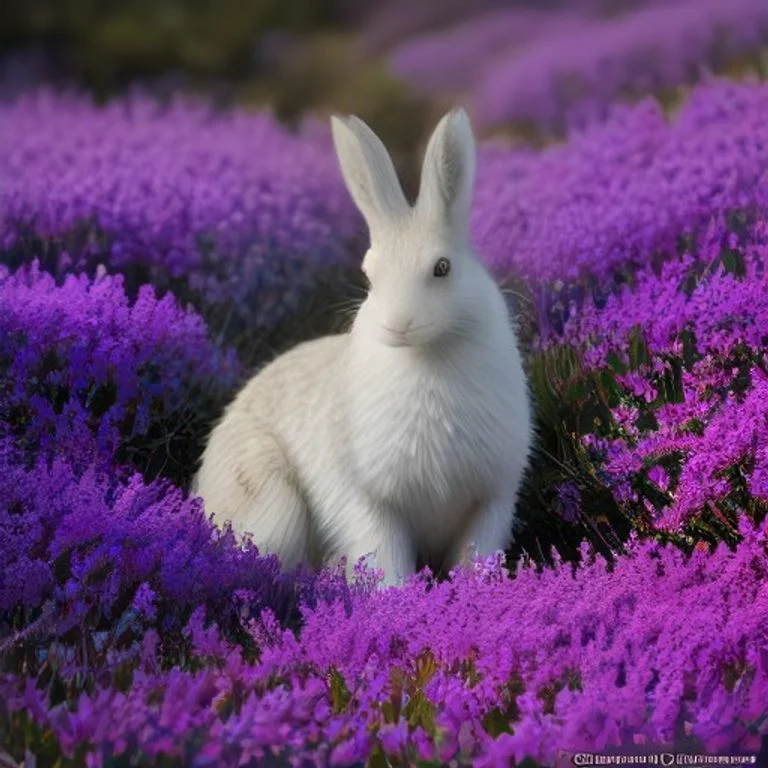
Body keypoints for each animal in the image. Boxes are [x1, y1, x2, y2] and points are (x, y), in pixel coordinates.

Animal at [193, 107, 533, 586]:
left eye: (442, 268)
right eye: (369, 275)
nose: (398, 324)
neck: (426, 356)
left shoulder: (492, 501)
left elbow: (475, 558)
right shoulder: (369, 503)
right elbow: (386, 563)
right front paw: (396, 598)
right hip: (272, 500)